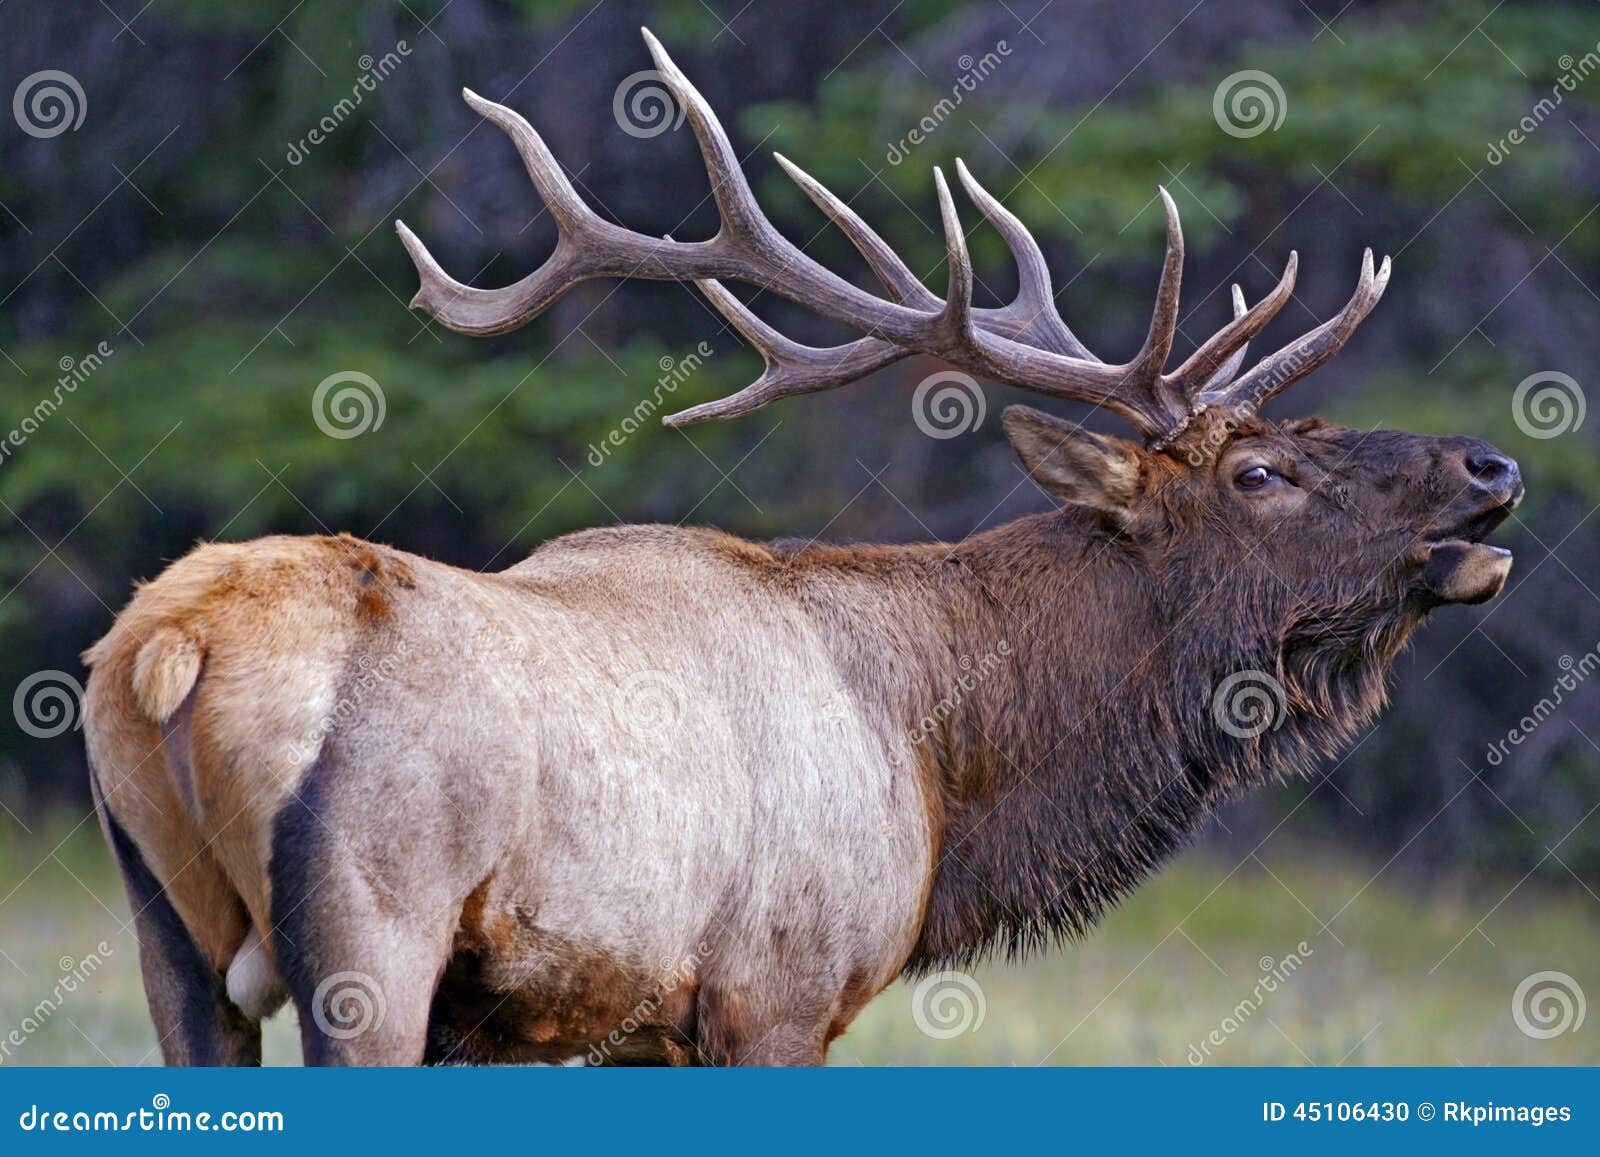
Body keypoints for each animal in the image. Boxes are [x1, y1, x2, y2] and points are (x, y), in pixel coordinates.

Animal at [82, 29, 1523, 1066]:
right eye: (1257, 472)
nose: (1491, 467)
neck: (942, 766)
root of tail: (167, 651)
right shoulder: (776, 987)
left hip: (174, 948)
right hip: (373, 930)